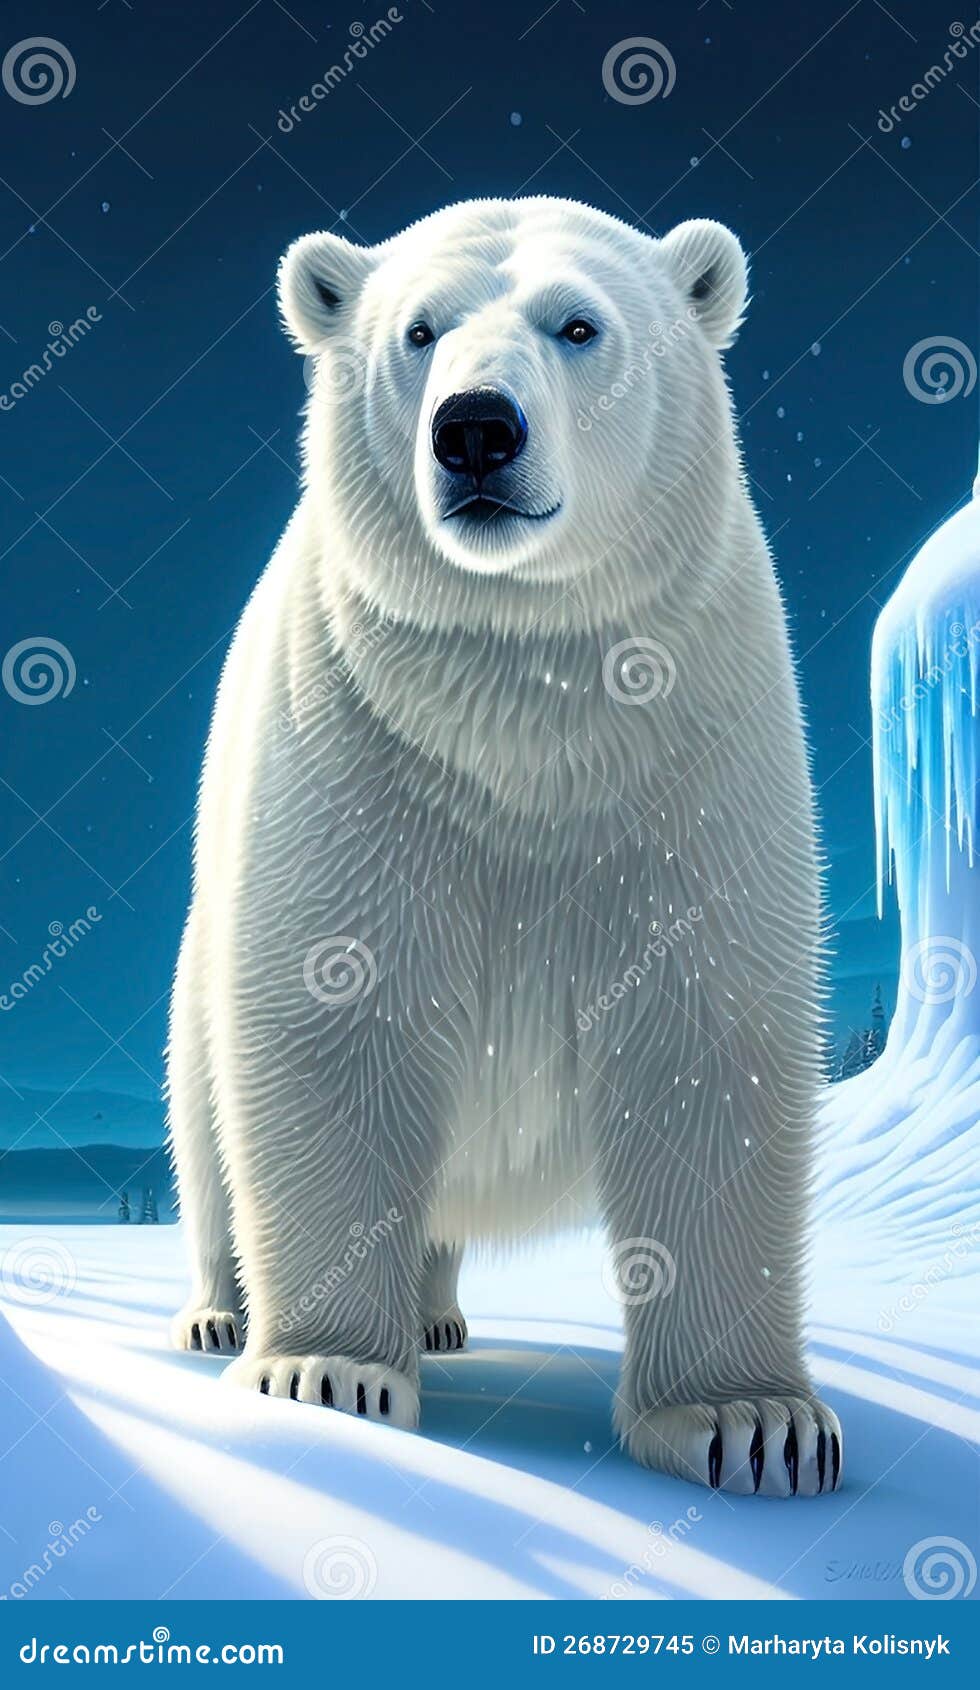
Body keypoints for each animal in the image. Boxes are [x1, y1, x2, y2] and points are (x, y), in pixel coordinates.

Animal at [167, 196, 841, 1498]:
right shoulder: (357, 752)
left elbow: (704, 1044)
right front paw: (327, 1373)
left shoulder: (691, 759)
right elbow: (336, 1019)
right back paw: (223, 1312)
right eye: (418, 330)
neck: (527, 703)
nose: (474, 429)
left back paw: (435, 1309)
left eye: (577, 324)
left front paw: (751, 1421)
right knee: (207, 1136)